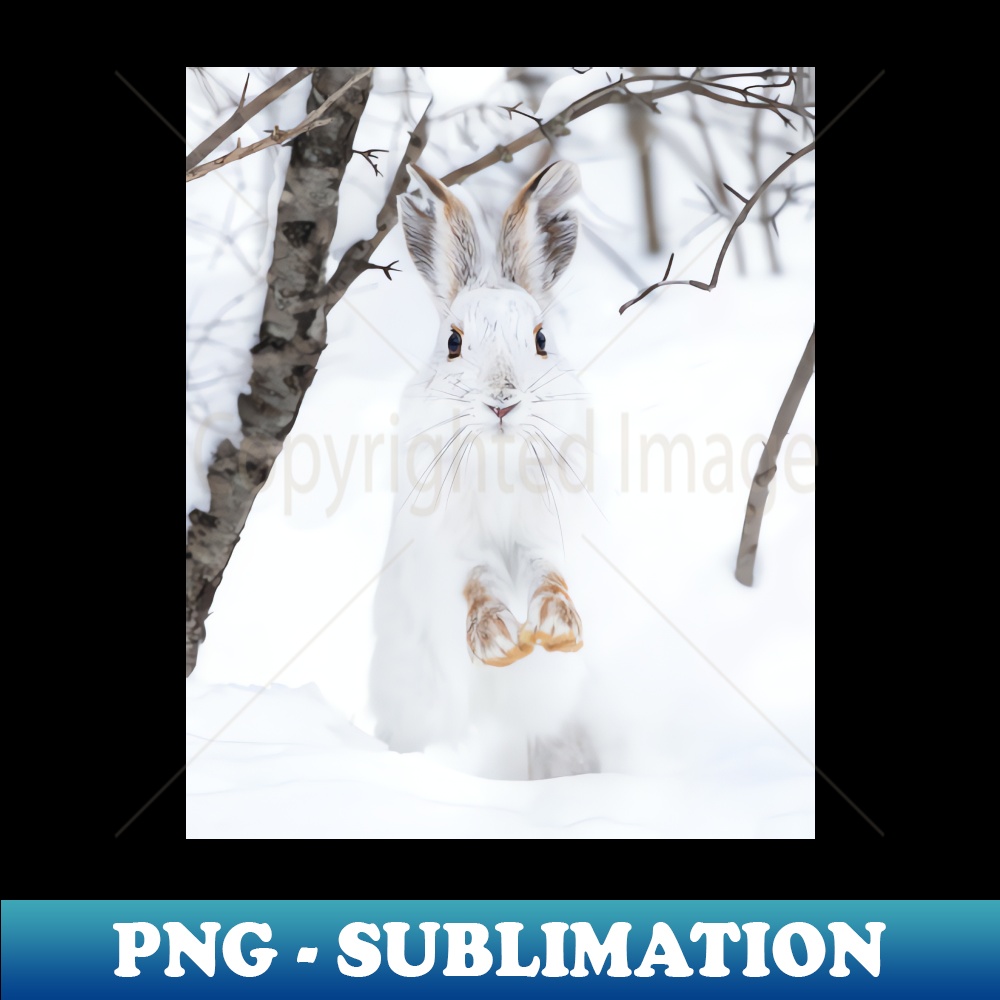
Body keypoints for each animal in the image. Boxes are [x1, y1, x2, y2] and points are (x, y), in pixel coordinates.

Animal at [368, 161, 597, 780]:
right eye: (453, 341)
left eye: (540, 340)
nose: (501, 403)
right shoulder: (457, 548)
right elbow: (478, 585)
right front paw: (500, 643)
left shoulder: (546, 536)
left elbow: (549, 577)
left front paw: (556, 631)